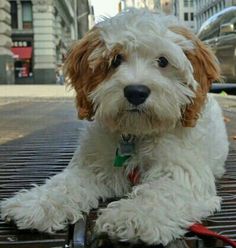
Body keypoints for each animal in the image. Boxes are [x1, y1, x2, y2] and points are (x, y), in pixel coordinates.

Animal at [0, 8, 228, 246]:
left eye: (163, 61)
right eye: (116, 59)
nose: (136, 92)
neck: (136, 135)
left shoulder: (182, 173)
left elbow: (162, 193)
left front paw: (130, 216)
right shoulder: (92, 167)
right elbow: (65, 184)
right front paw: (36, 204)